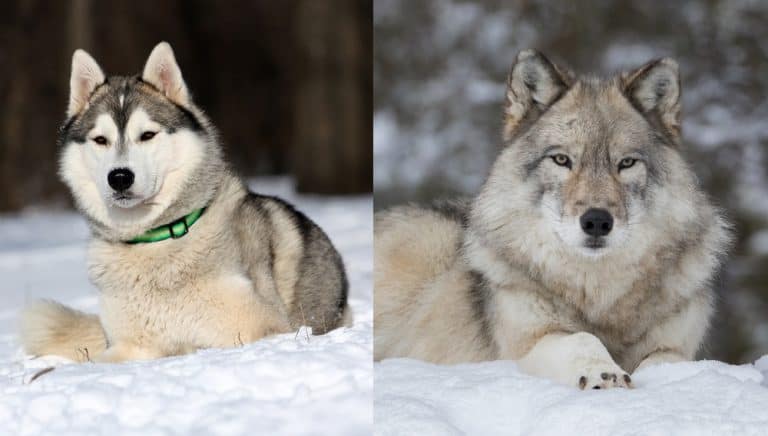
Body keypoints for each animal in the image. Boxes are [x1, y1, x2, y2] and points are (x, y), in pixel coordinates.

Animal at [20, 42, 350, 363]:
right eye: (101, 140)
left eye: (147, 135)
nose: (120, 177)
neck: (156, 241)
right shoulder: (129, 346)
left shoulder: (261, 328)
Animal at [374, 49, 731, 389]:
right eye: (562, 160)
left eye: (626, 163)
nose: (597, 221)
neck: (599, 294)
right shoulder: (528, 343)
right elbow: (582, 339)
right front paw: (605, 374)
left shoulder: (678, 346)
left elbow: (667, 359)